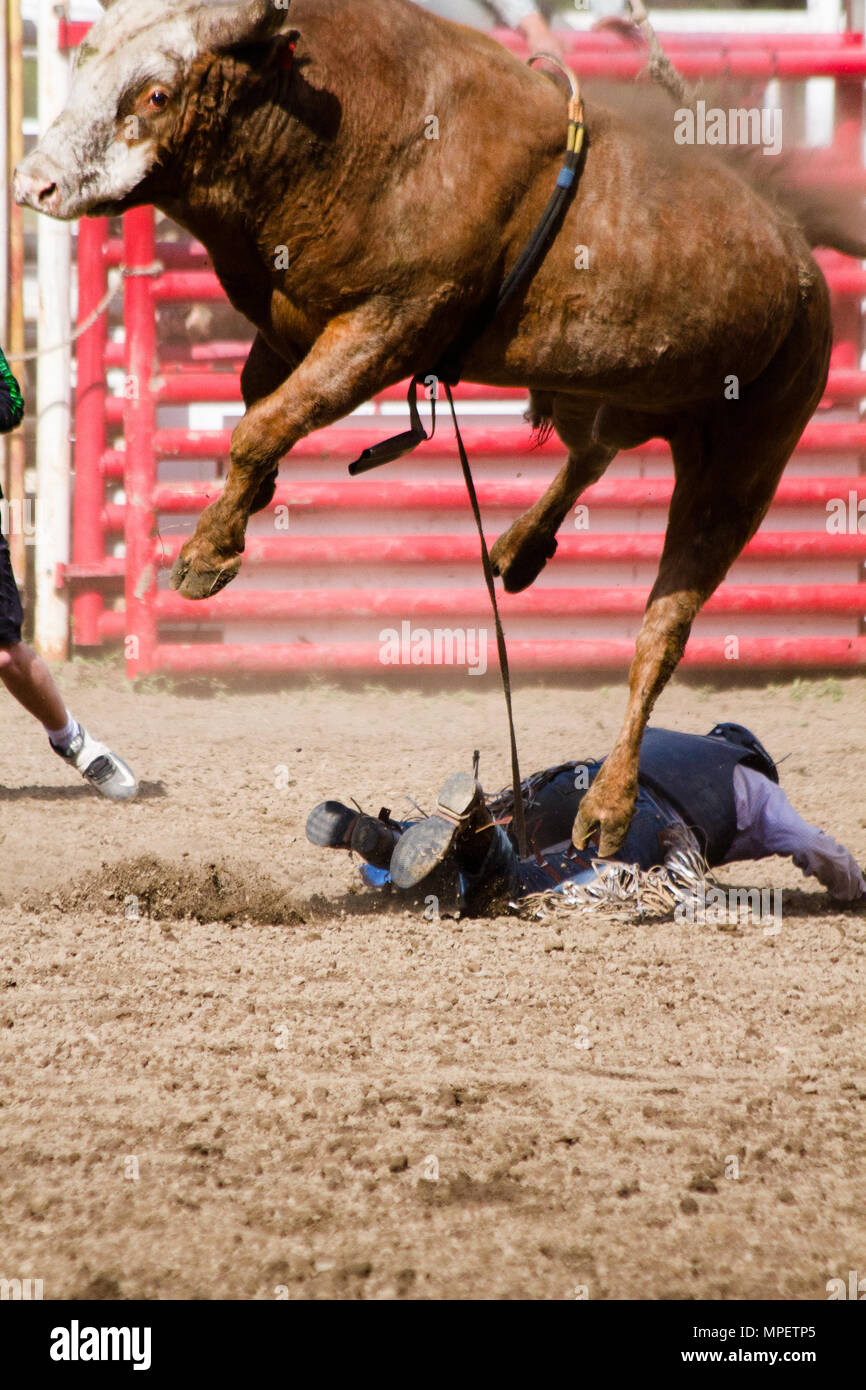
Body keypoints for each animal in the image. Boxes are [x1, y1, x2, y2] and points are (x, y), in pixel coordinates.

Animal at [14, 0, 865, 856]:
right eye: (84, 62)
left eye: (157, 95)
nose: (33, 180)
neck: (336, 126)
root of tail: (798, 256)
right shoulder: (291, 329)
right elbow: (263, 410)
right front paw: (246, 508)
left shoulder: (391, 324)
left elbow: (262, 425)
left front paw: (205, 555)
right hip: (611, 389)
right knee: (591, 452)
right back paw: (518, 547)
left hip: (744, 458)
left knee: (664, 627)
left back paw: (608, 807)